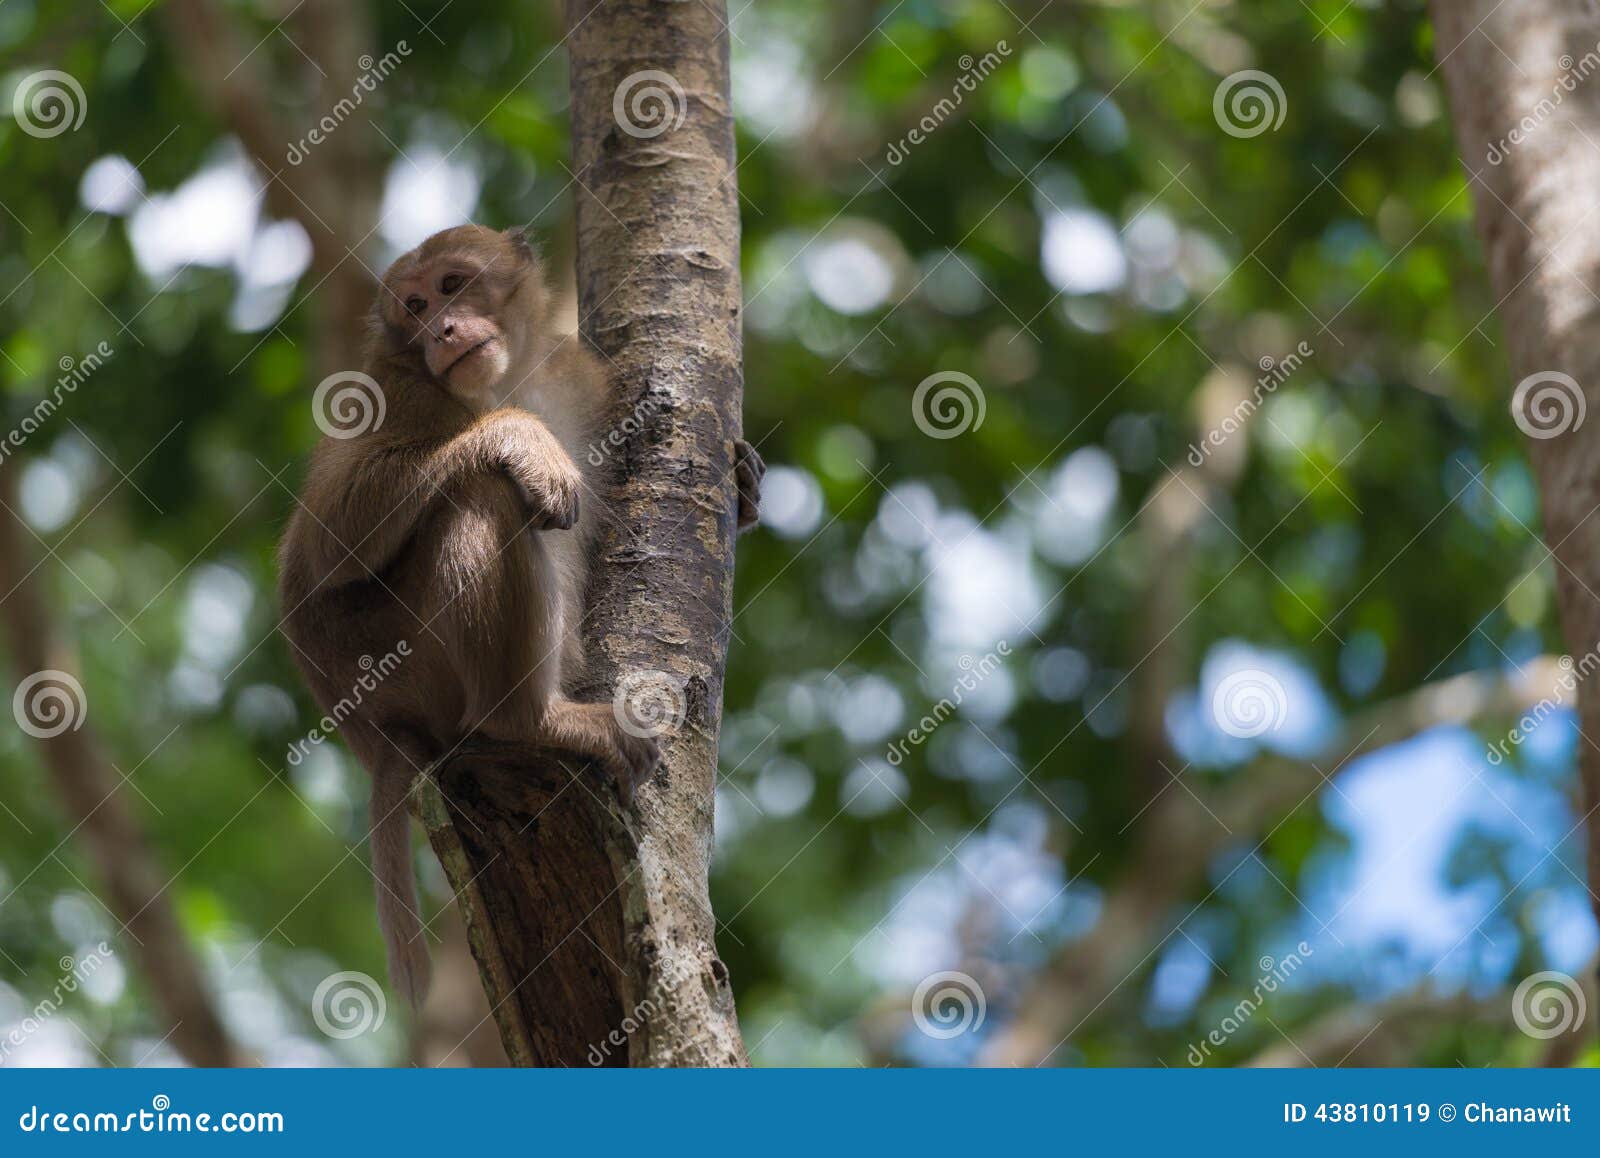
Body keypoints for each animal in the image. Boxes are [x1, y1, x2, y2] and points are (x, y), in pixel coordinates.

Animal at [276, 224, 764, 1008]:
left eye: (451, 286)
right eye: (413, 307)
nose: (441, 329)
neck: (500, 384)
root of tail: (379, 735)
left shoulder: (578, 373)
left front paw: (744, 483)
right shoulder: (391, 389)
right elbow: (322, 546)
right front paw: (521, 435)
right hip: (408, 665)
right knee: (483, 490)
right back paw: (528, 720)